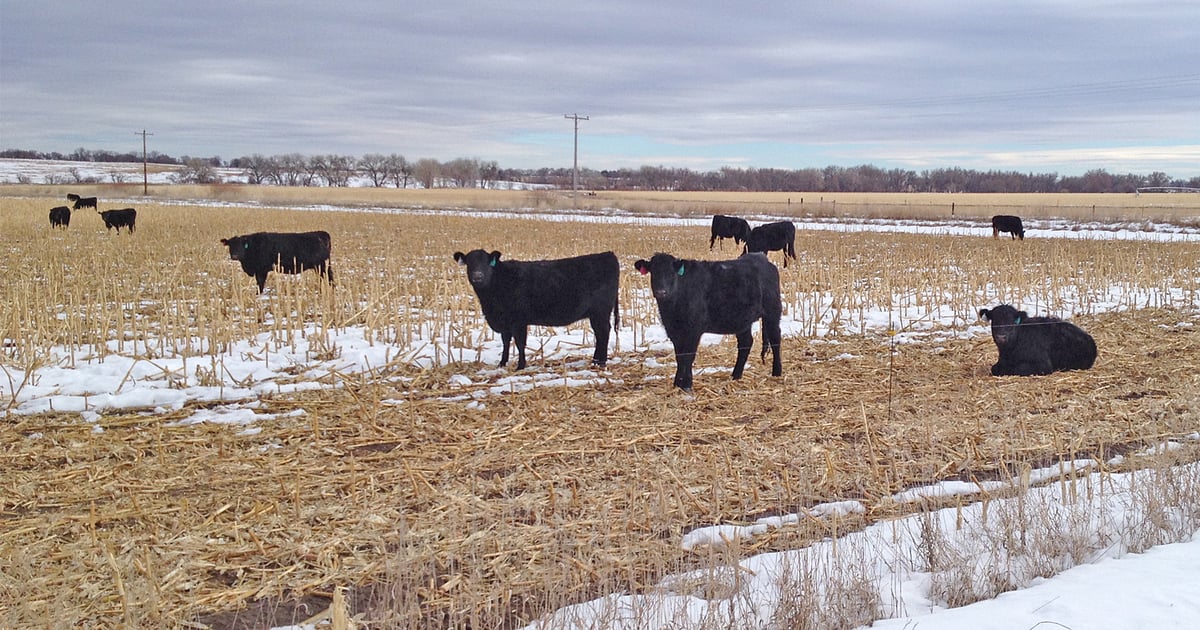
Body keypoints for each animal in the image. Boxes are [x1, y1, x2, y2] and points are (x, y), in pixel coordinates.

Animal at [453, 249, 620, 370]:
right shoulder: (505, 322)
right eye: (469, 263)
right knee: (600, 334)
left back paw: (601, 362)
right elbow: (506, 342)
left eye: (487, 263)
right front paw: (502, 363)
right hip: (596, 314)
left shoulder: (518, 321)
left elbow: (520, 343)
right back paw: (596, 361)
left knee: (603, 333)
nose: (478, 276)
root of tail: (608, 254)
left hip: (601, 312)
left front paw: (520, 366)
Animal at [634, 252, 782, 391]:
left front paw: (686, 384)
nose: (661, 292)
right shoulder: (674, 331)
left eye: (671, 273)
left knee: (775, 339)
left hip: (772, 311)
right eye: (653, 272)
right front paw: (677, 383)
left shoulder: (693, 329)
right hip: (742, 320)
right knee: (746, 343)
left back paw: (777, 372)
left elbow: (688, 356)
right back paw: (735, 375)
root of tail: (761, 258)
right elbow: (679, 356)